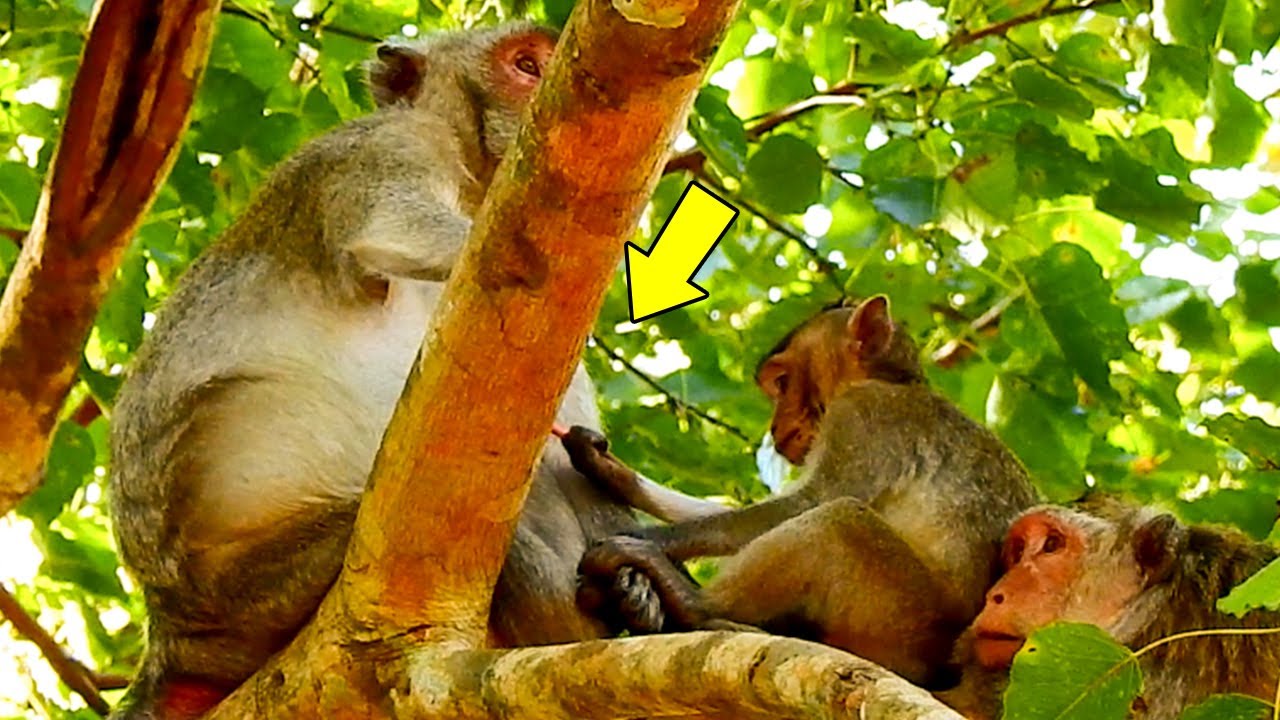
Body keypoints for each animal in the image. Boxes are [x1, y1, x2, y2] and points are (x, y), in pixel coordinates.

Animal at [107, 23, 644, 719]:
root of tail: (168, 635)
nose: (546, 87)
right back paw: (566, 622)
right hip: (246, 593)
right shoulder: (380, 148)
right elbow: (406, 230)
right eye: (525, 65)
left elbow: (572, 449)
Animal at [565, 295, 1041, 687]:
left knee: (838, 520)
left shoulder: (863, 416)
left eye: (781, 383)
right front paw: (613, 472)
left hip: (908, 614)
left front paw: (645, 541)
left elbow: (808, 502)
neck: (897, 382)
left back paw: (690, 601)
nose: (777, 426)